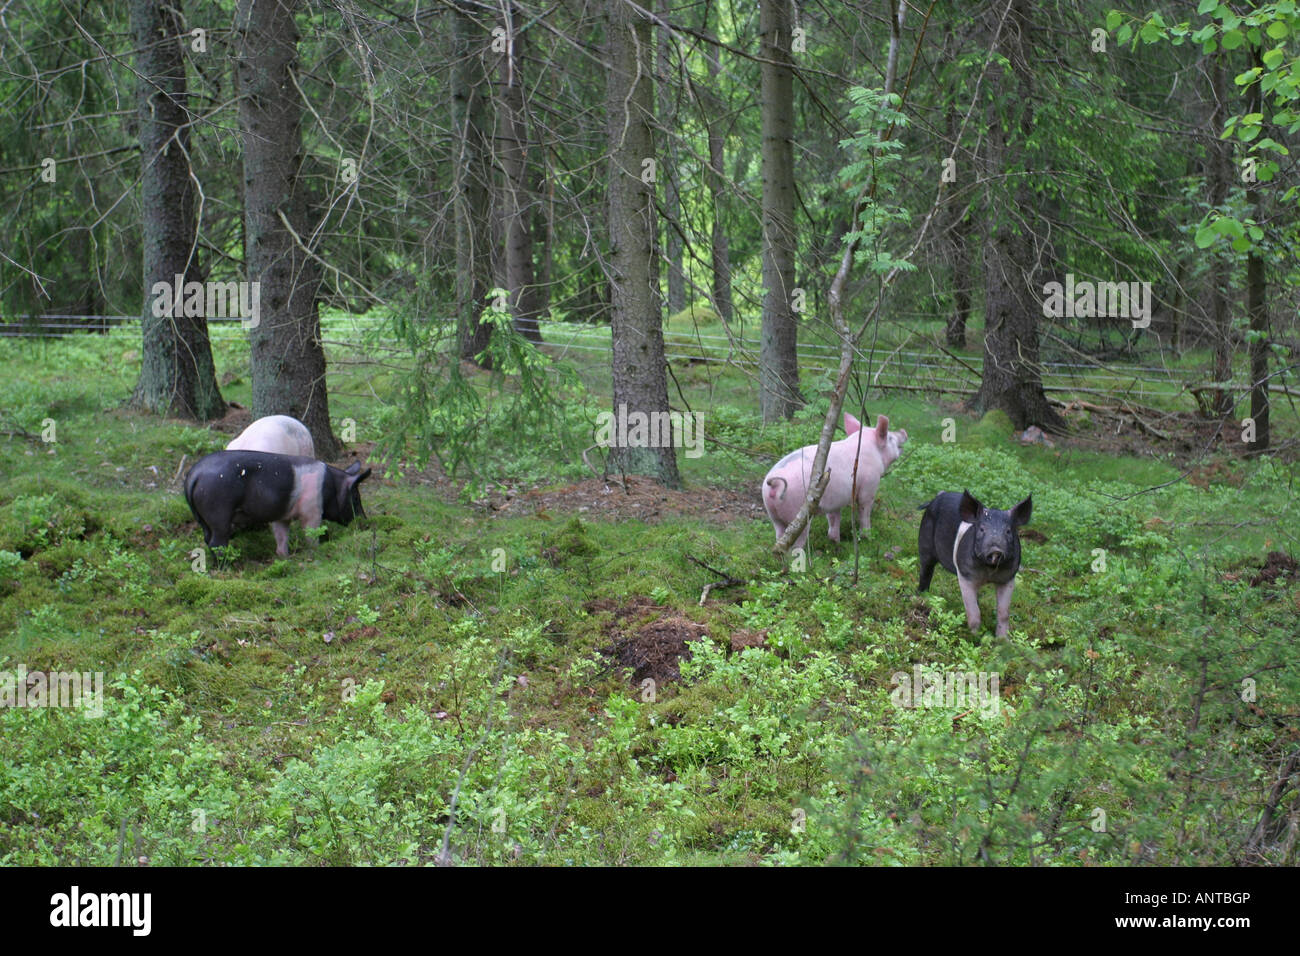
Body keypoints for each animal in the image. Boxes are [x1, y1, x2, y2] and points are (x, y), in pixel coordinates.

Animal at [184, 450, 371, 558]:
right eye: (356, 497)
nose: (365, 521)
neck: (330, 487)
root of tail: (194, 474)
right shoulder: (312, 511)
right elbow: (311, 533)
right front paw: (316, 551)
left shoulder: (281, 516)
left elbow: (281, 536)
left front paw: (284, 557)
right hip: (219, 512)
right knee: (217, 542)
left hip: (203, 518)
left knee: (207, 539)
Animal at [762, 413, 908, 550]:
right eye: (890, 437)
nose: (903, 431)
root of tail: (775, 485)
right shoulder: (869, 485)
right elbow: (864, 510)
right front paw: (867, 537)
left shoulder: (834, 501)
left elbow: (834, 519)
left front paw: (835, 543)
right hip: (798, 514)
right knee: (796, 543)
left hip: (773, 515)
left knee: (779, 536)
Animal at [917, 490, 1033, 638]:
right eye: (982, 529)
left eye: (1008, 531)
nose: (996, 550)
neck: (989, 572)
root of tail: (938, 495)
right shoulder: (965, 575)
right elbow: (974, 613)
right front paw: (975, 637)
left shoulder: (1008, 578)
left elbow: (1003, 614)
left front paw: (1003, 640)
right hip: (924, 544)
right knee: (926, 571)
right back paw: (922, 596)